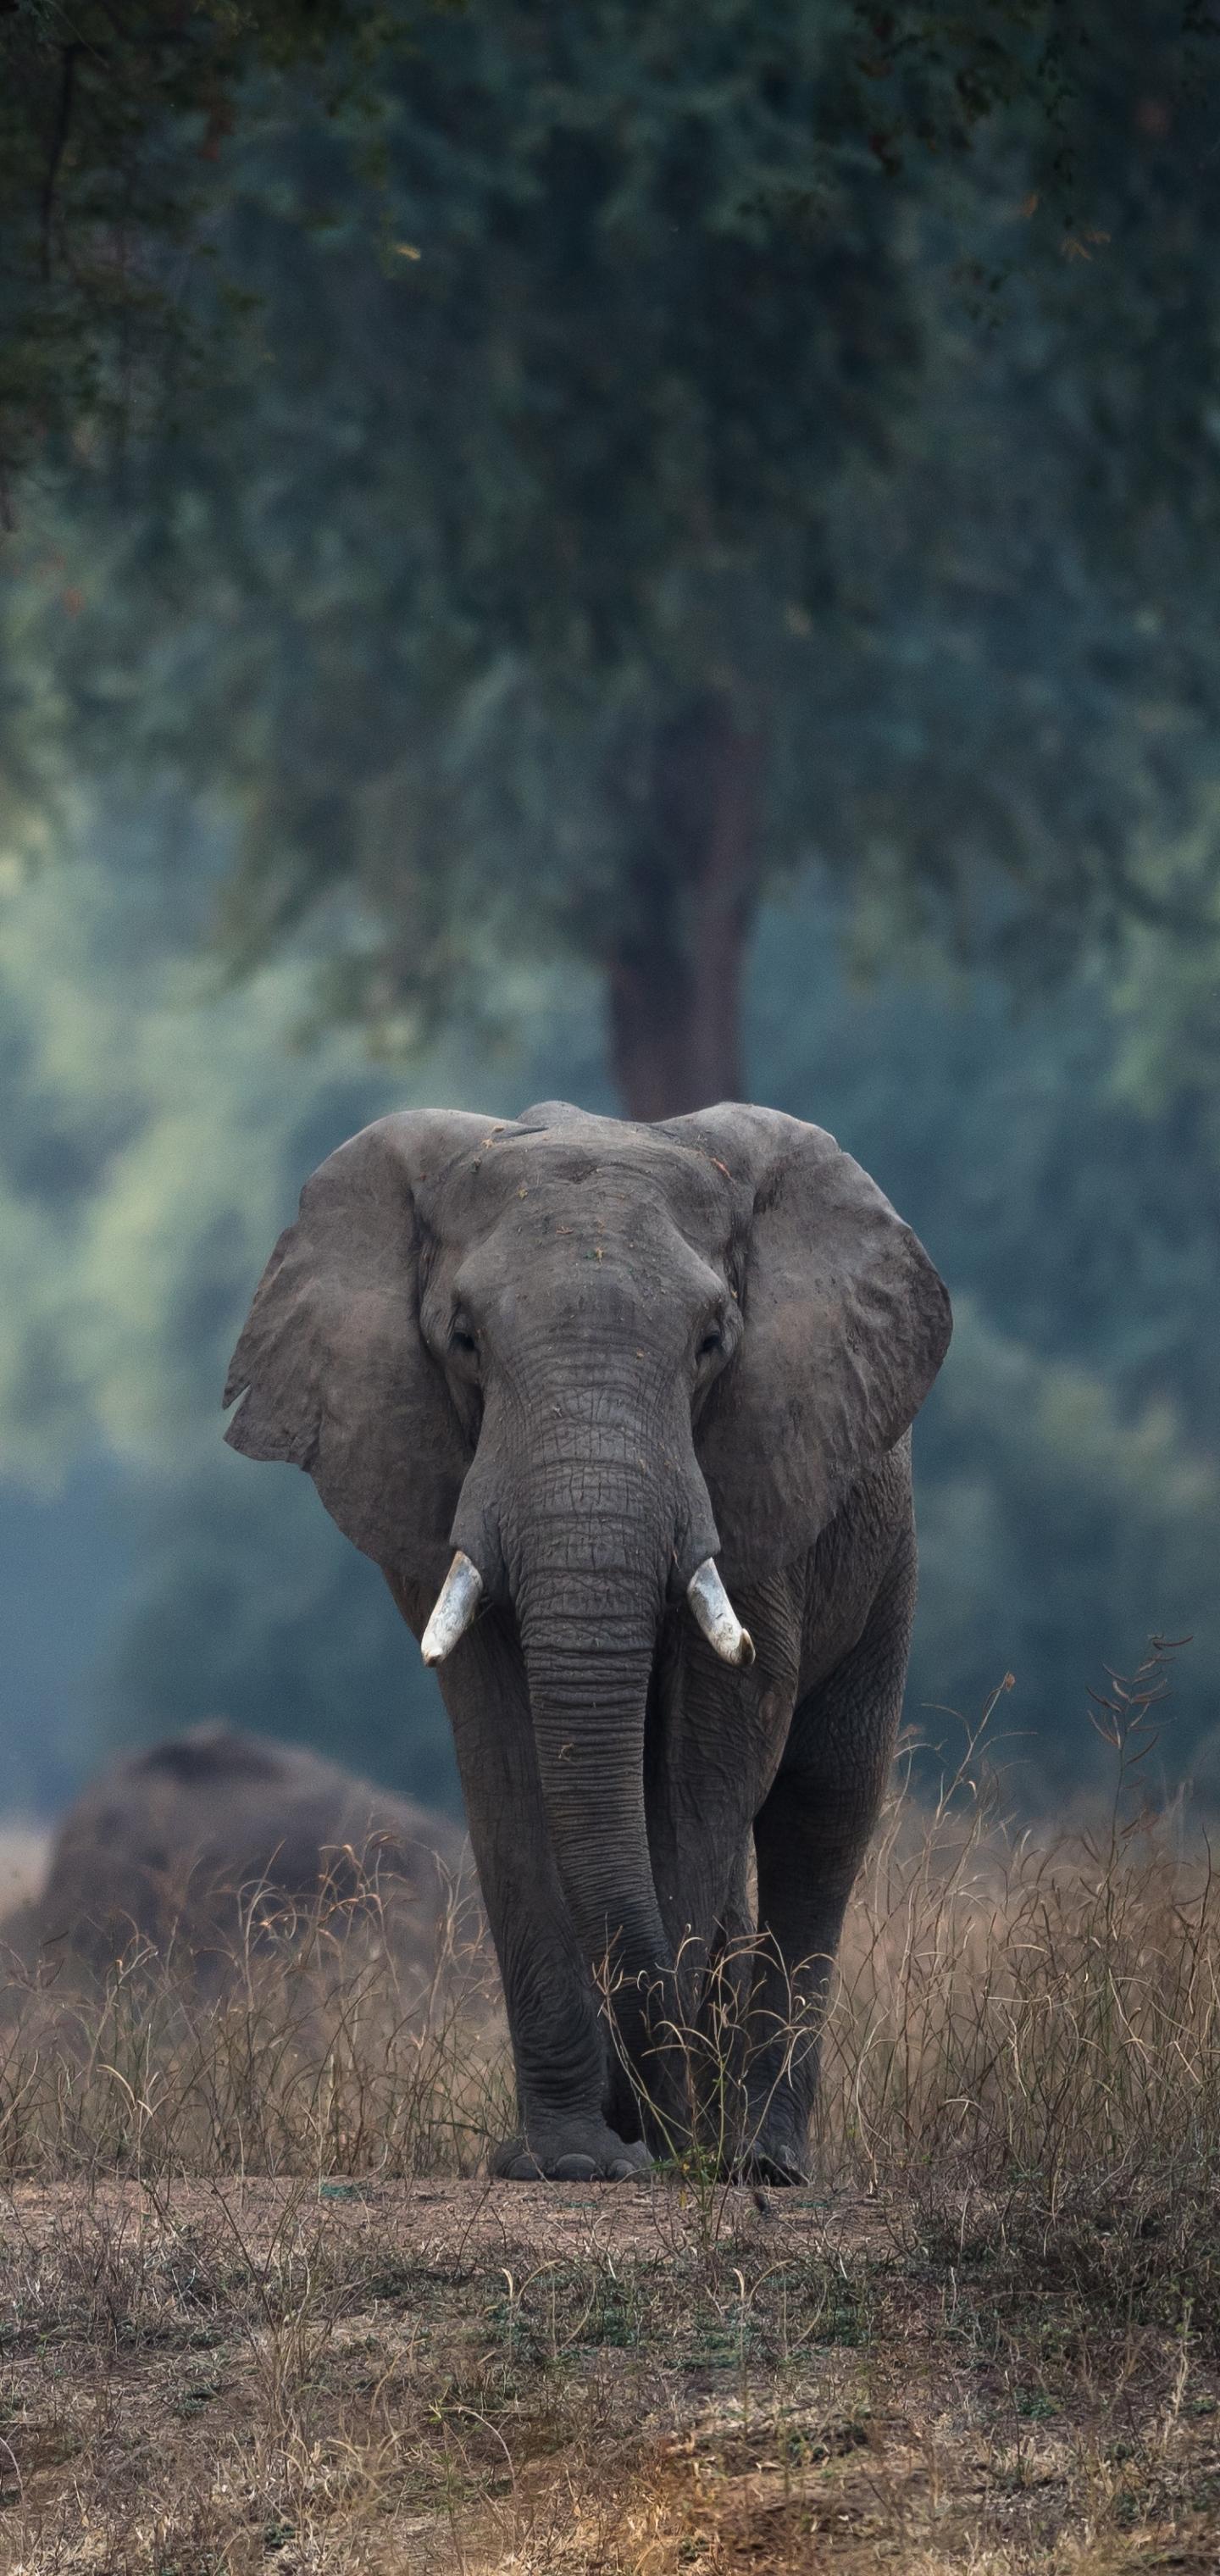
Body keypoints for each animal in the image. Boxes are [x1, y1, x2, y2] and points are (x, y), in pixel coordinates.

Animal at [225, 1100, 951, 2181]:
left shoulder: (761, 1463)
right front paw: (569, 2159)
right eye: (465, 1339)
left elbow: (705, 1764)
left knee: (821, 1806)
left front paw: (662, 2135)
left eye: (712, 1341)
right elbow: (506, 1760)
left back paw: (757, 2158)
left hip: (884, 1542)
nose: (648, 2131)